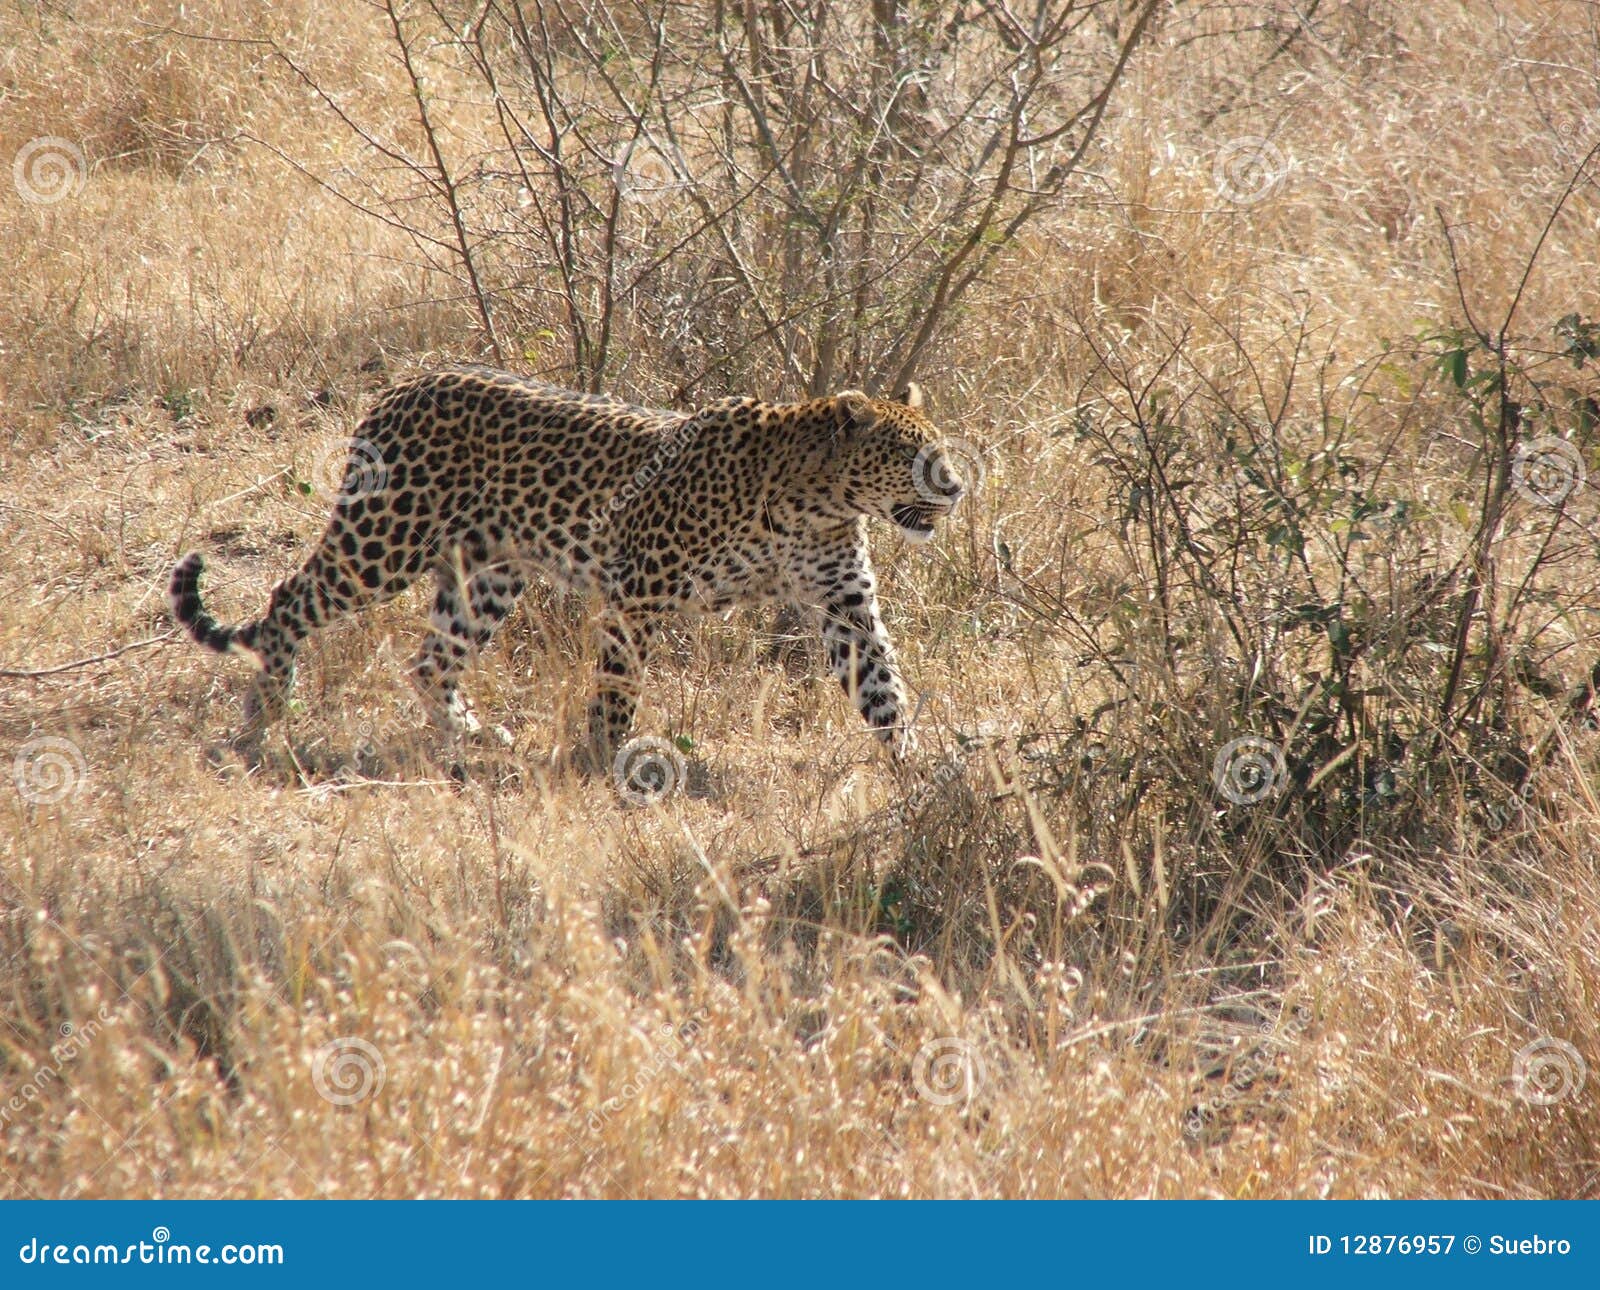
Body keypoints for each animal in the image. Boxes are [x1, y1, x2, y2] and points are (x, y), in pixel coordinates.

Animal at [167, 366, 966, 769]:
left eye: (940, 449)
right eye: (908, 454)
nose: (957, 485)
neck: (814, 501)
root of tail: (404, 385)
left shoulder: (844, 600)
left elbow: (881, 684)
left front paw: (915, 762)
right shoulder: (637, 591)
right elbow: (617, 687)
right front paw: (605, 760)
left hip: (488, 573)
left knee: (432, 659)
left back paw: (472, 736)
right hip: (384, 541)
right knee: (290, 596)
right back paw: (267, 709)